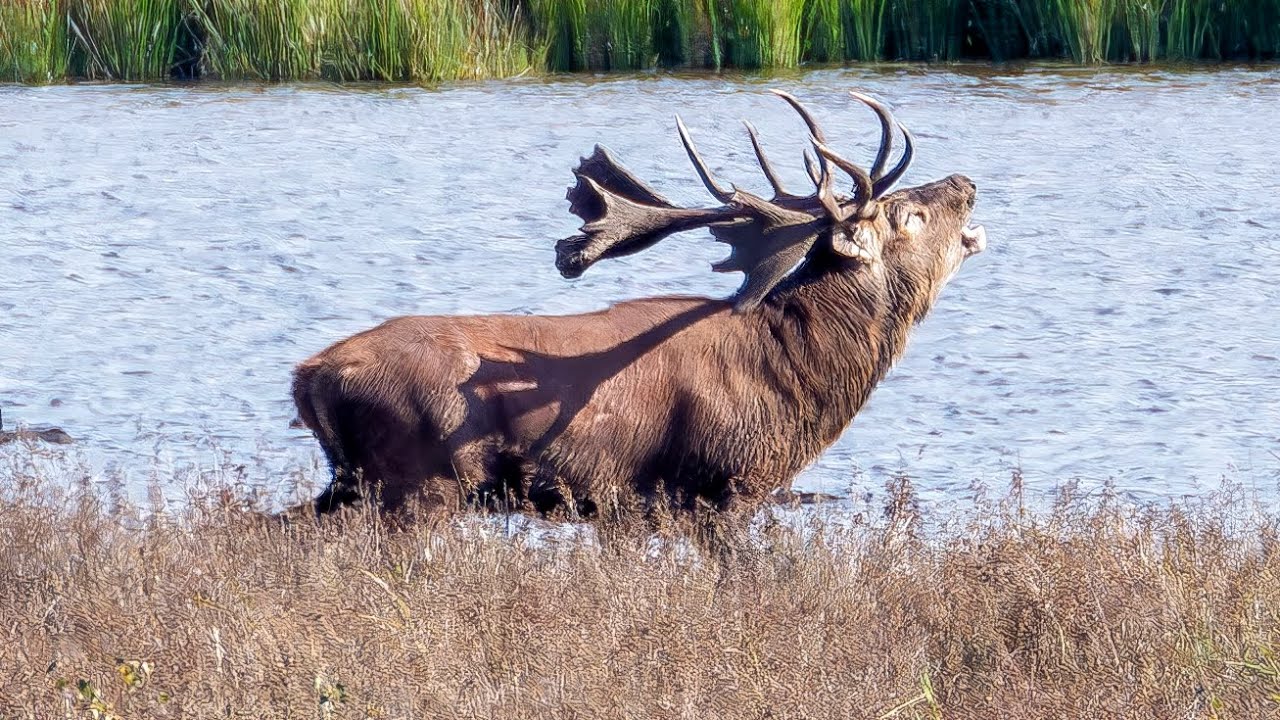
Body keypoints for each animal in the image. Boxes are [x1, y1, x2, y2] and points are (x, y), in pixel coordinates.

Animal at [289, 89, 987, 521]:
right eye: (907, 215)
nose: (966, 182)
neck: (797, 374)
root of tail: (309, 375)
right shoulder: (721, 484)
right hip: (417, 481)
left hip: (352, 483)